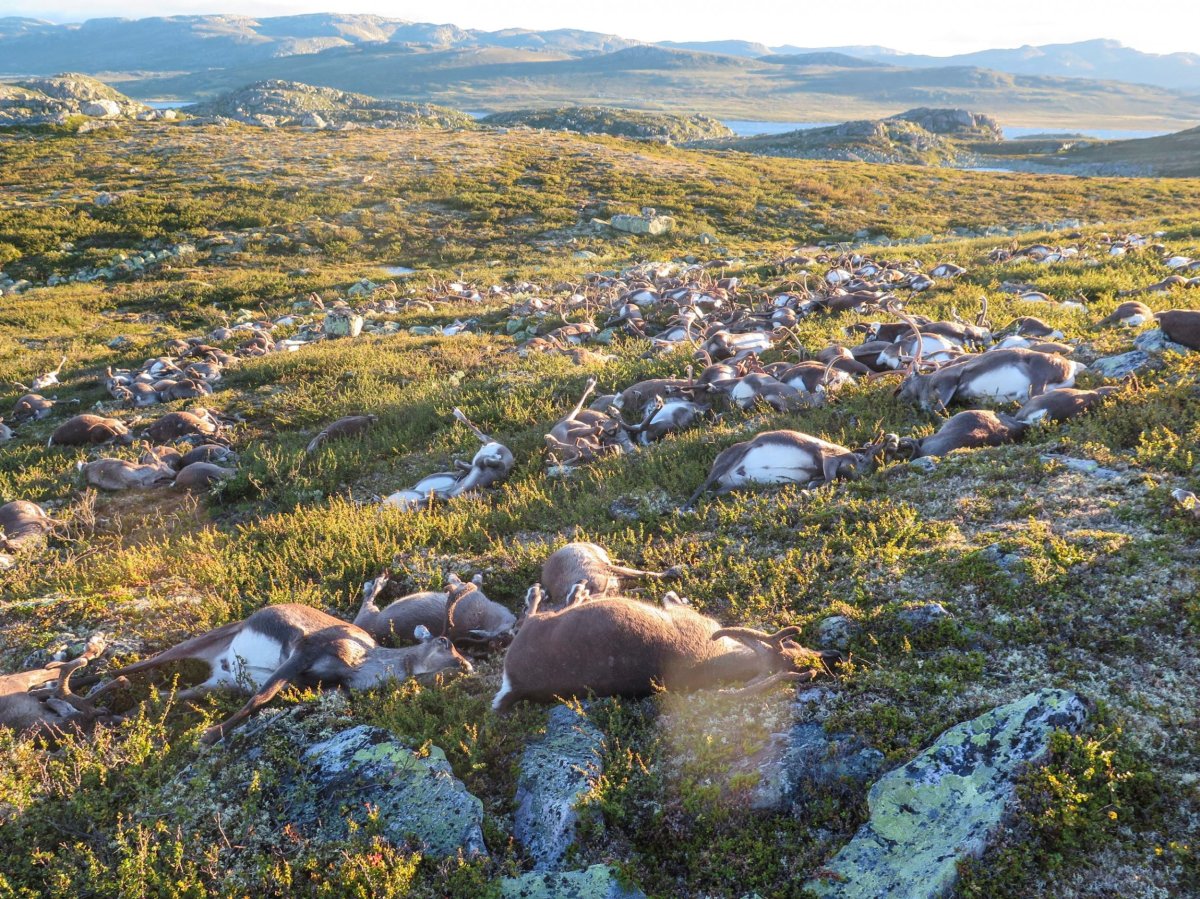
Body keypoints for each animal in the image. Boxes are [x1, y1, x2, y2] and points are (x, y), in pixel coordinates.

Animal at [112, 603, 474, 744]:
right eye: (445, 643)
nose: (468, 667)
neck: (361, 662)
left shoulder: (315, 680)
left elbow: (265, 695)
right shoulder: (303, 651)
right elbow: (261, 698)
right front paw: (210, 733)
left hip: (219, 683)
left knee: (162, 695)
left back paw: (119, 714)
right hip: (205, 640)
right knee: (134, 667)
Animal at [491, 591, 841, 711]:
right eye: (793, 643)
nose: (833, 658)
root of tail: (515, 685)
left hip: (537, 627)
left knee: (530, 614)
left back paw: (563, 593)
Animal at [685, 430, 893, 509]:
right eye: (861, 459)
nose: (862, 474)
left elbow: (820, 480)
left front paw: (810, 488)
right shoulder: (828, 459)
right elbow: (829, 478)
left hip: (733, 486)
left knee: (712, 492)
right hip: (726, 464)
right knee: (702, 486)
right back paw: (685, 507)